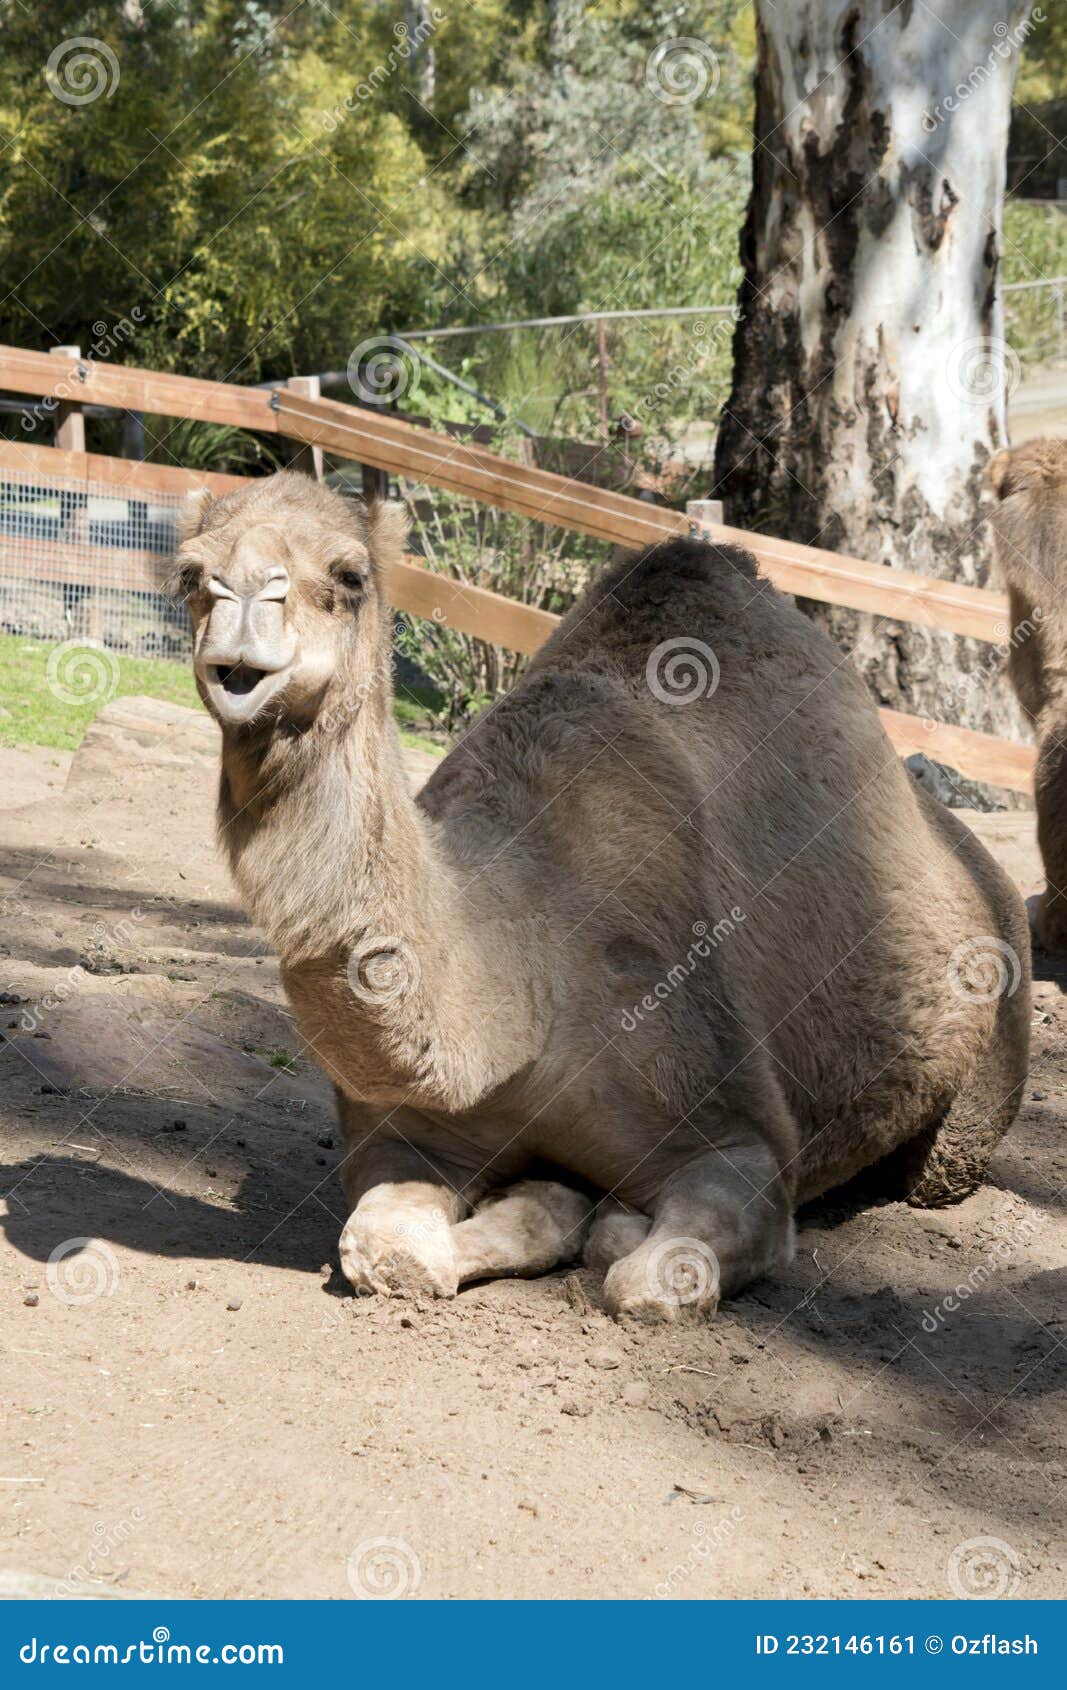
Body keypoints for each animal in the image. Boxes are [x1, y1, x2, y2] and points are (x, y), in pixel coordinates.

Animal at [176, 471, 1030, 1322]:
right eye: (188, 574)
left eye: (350, 576)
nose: (239, 600)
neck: (526, 984)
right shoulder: (398, 1131)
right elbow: (391, 1251)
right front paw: (552, 1205)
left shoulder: (740, 1141)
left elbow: (646, 1278)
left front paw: (605, 1224)